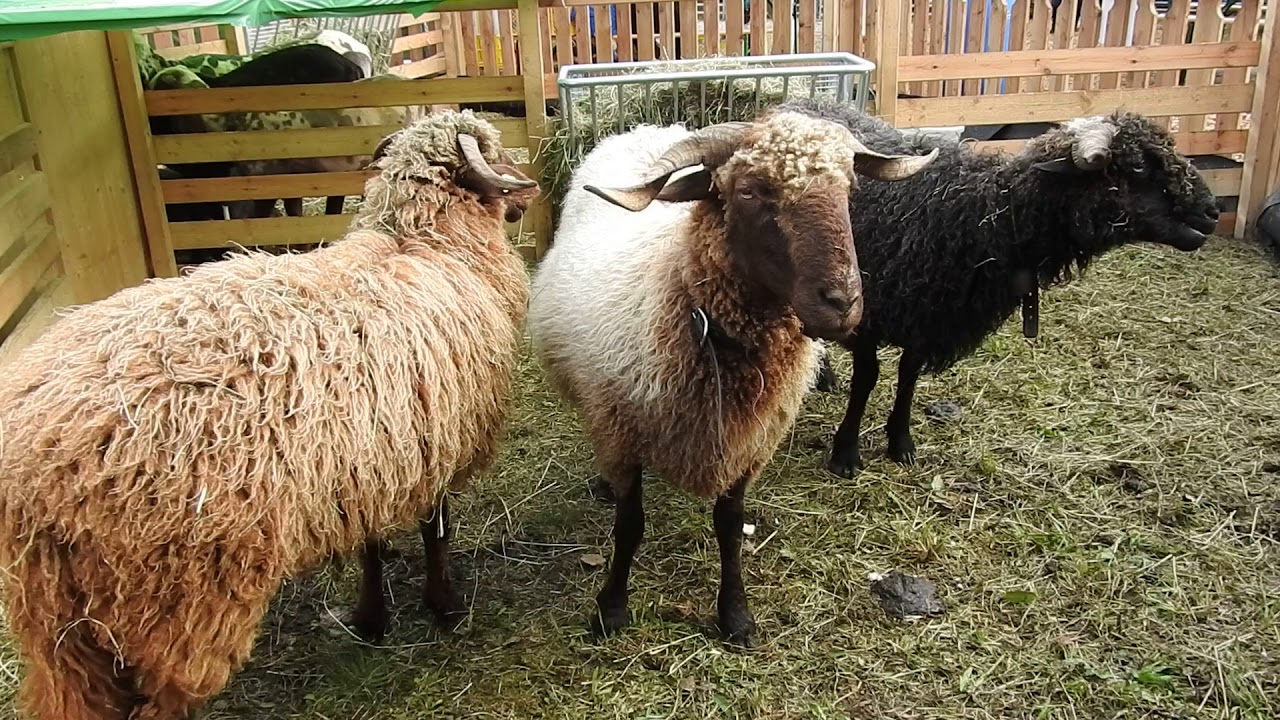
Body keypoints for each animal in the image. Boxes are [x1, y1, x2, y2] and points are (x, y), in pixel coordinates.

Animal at [0, 109, 540, 720]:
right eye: (493, 152)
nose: (525, 193)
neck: (420, 242)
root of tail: (37, 472)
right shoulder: (433, 441)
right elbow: (436, 529)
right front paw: (444, 605)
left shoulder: (369, 460)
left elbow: (371, 546)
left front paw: (371, 618)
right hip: (176, 597)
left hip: (52, 614)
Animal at [527, 112, 938, 646]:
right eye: (749, 191)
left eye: (849, 187)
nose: (843, 302)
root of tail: (646, 128)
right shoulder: (622, 433)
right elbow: (630, 525)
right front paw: (611, 609)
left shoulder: (748, 442)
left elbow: (729, 526)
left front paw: (735, 616)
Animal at [779, 98, 1220, 477]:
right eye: (1138, 169)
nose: (1213, 211)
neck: (982, 216)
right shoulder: (872, 314)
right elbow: (867, 380)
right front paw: (846, 452)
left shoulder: (929, 316)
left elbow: (908, 377)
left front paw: (901, 442)